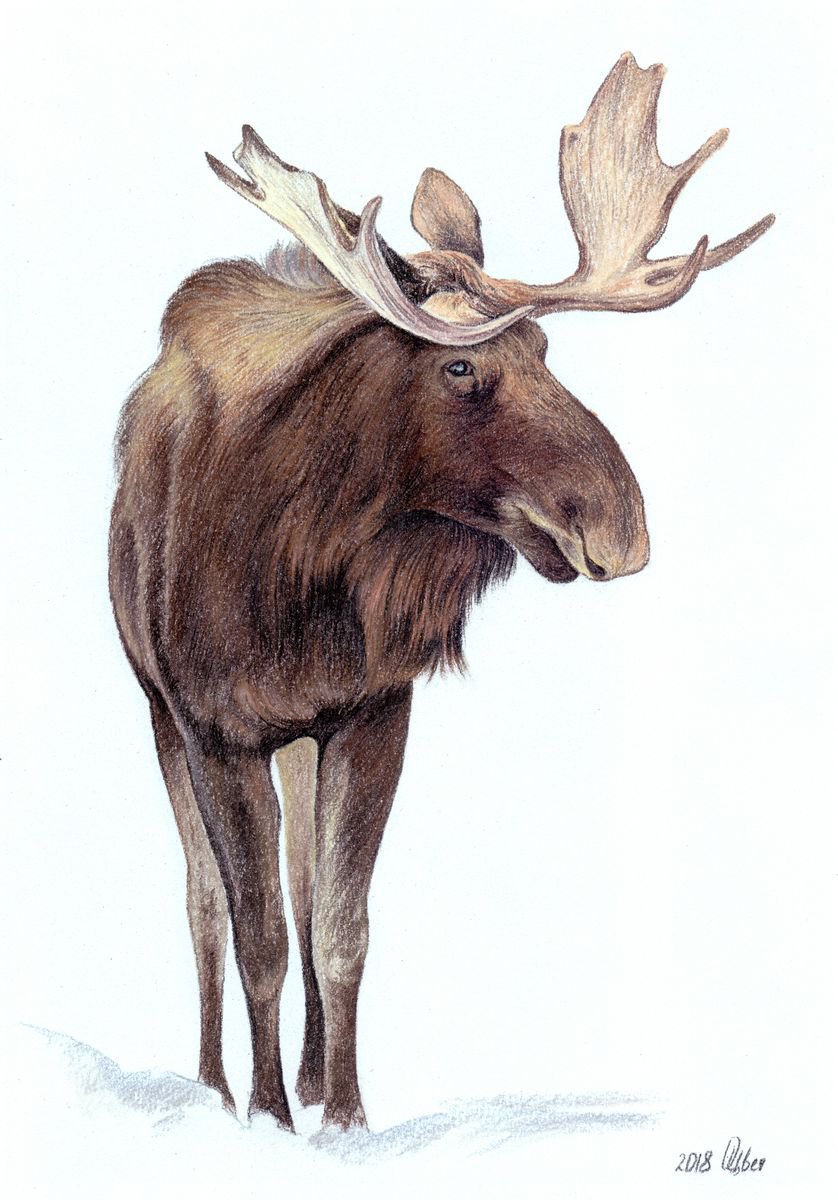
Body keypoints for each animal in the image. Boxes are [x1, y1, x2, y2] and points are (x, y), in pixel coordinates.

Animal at [108, 53, 773, 1131]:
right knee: (202, 902)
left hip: (304, 738)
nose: (621, 527)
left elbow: (339, 926)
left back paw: (302, 1074)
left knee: (300, 887)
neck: (302, 575)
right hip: (160, 710)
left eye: (544, 352)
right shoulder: (212, 727)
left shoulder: (373, 710)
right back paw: (211, 1082)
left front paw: (342, 1112)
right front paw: (264, 1115)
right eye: (461, 366)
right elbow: (252, 934)